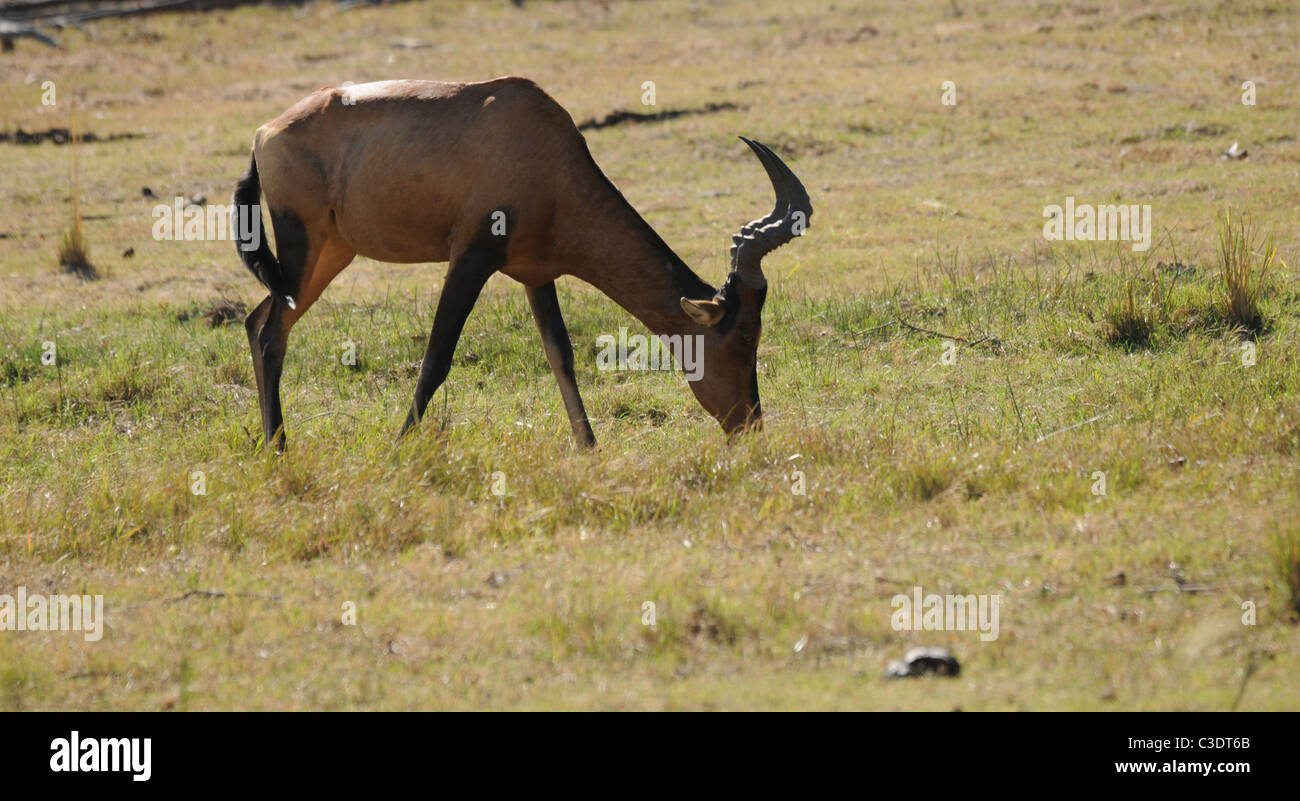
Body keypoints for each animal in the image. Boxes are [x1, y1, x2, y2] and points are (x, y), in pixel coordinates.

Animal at [233, 77, 811, 451]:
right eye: (743, 337)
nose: (749, 428)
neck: (541, 145)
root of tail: (264, 133)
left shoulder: (538, 273)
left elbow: (561, 355)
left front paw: (588, 448)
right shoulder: (470, 258)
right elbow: (436, 358)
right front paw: (398, 450)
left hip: (332, 253)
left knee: (259, 322)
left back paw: (273, 448)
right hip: (304, 248)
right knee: (271, 331)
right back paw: (279, 449)